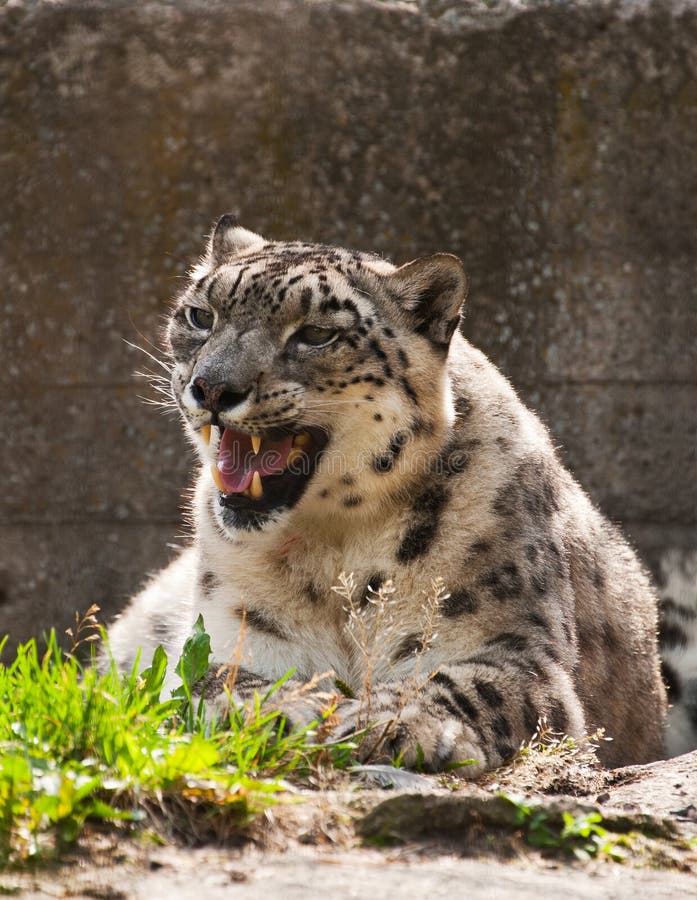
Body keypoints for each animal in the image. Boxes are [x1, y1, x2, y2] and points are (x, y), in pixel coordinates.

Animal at [107, 214, 674, 775]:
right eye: (201, 316)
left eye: (316, 333)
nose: (213, 387)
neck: (331, 545)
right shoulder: (233, 630)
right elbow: (211, 680)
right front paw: (282, 710)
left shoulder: (519, 646)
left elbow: (470, 683)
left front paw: (397, 722)